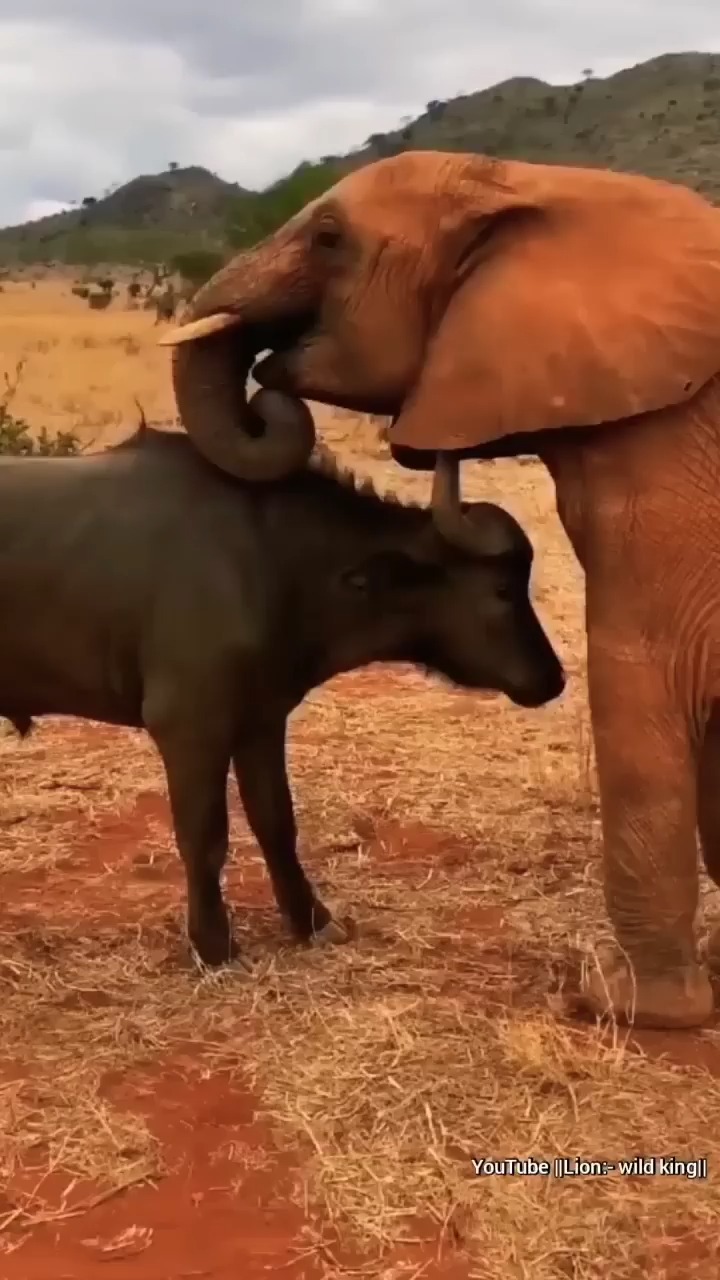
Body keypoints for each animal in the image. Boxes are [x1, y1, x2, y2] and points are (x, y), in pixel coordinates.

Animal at [159, 149, 720, 1030]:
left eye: (328, 237)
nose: (264, 392)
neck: (543, 183)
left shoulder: (664, 484)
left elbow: (640, 684)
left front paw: (620, 1000)